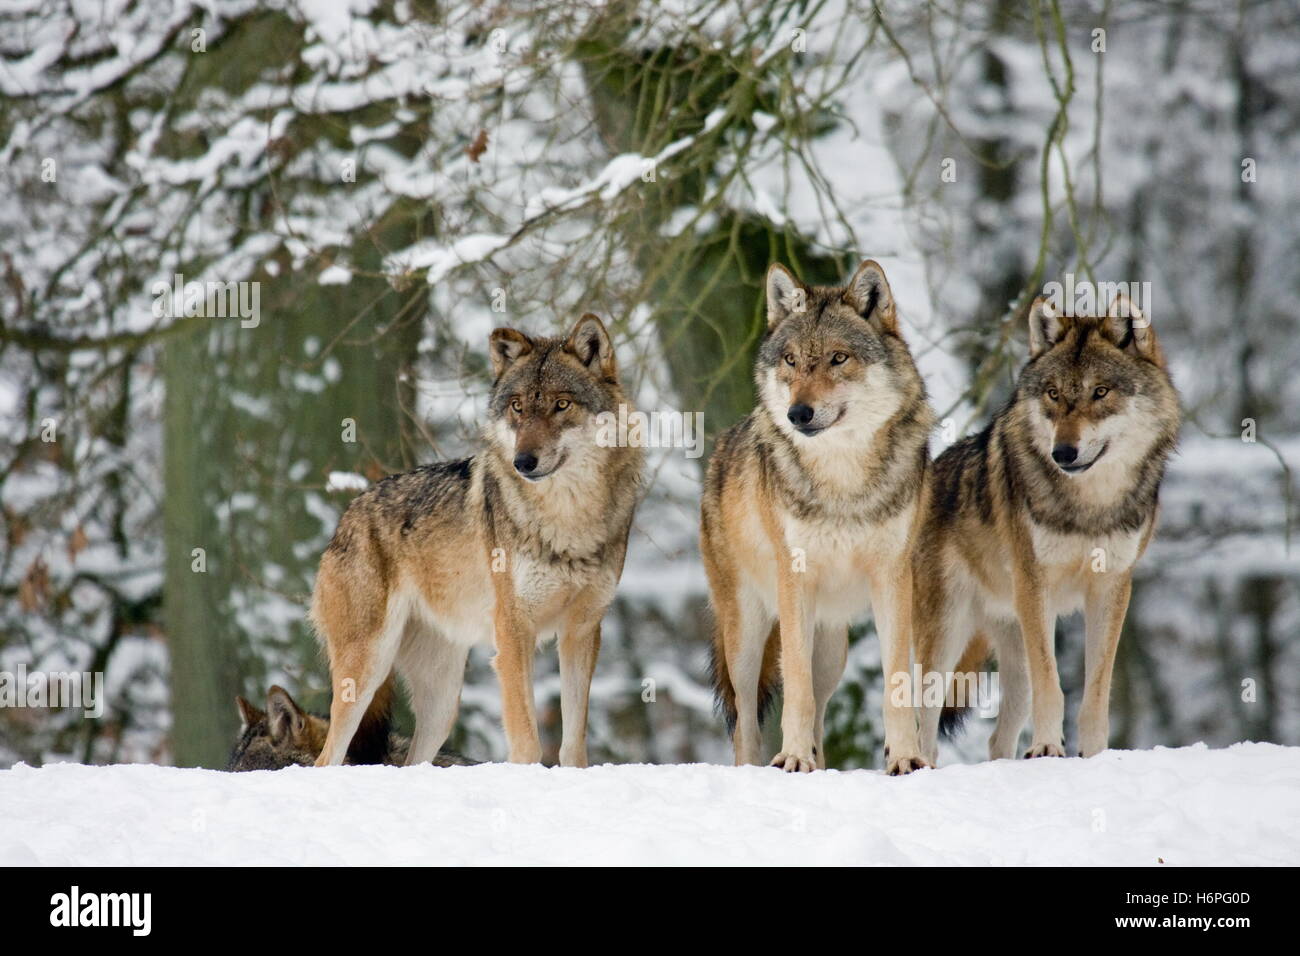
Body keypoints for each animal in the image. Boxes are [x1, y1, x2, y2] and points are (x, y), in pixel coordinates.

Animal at [310, 314, 642, 768]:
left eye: (561, 405)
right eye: (517, 406)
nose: (523, 462)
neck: (567, 518)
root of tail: (347, 515)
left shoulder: (583, 630)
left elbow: (574, 742)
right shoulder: (513, 630)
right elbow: (527, 741)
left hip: (443, 702)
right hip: (365, 670)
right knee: (325, 758)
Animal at [702, 260, 935, 775]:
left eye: (838, 358)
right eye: (790, 360)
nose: (798, 413)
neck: (842, 479)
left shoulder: (894, 578)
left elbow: (896, 683)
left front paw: (904, 757)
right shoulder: (795, 579)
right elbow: (795, 692)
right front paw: (791, 757)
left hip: (832, 651)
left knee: (822, 712)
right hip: (746, 639)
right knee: (746, 720)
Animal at [914, 294, 1180, 762]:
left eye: (1100, 391)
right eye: (1053, 393)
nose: (1063, 453)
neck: (1090, 505)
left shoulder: (1112, 587)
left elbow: (1096, 692)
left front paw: (1092, 755)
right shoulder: (1036, 585)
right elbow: (1052, 684)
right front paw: (1045, 748)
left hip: (1010, 644)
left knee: (998, 736)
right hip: (947, 633)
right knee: (923, 722)